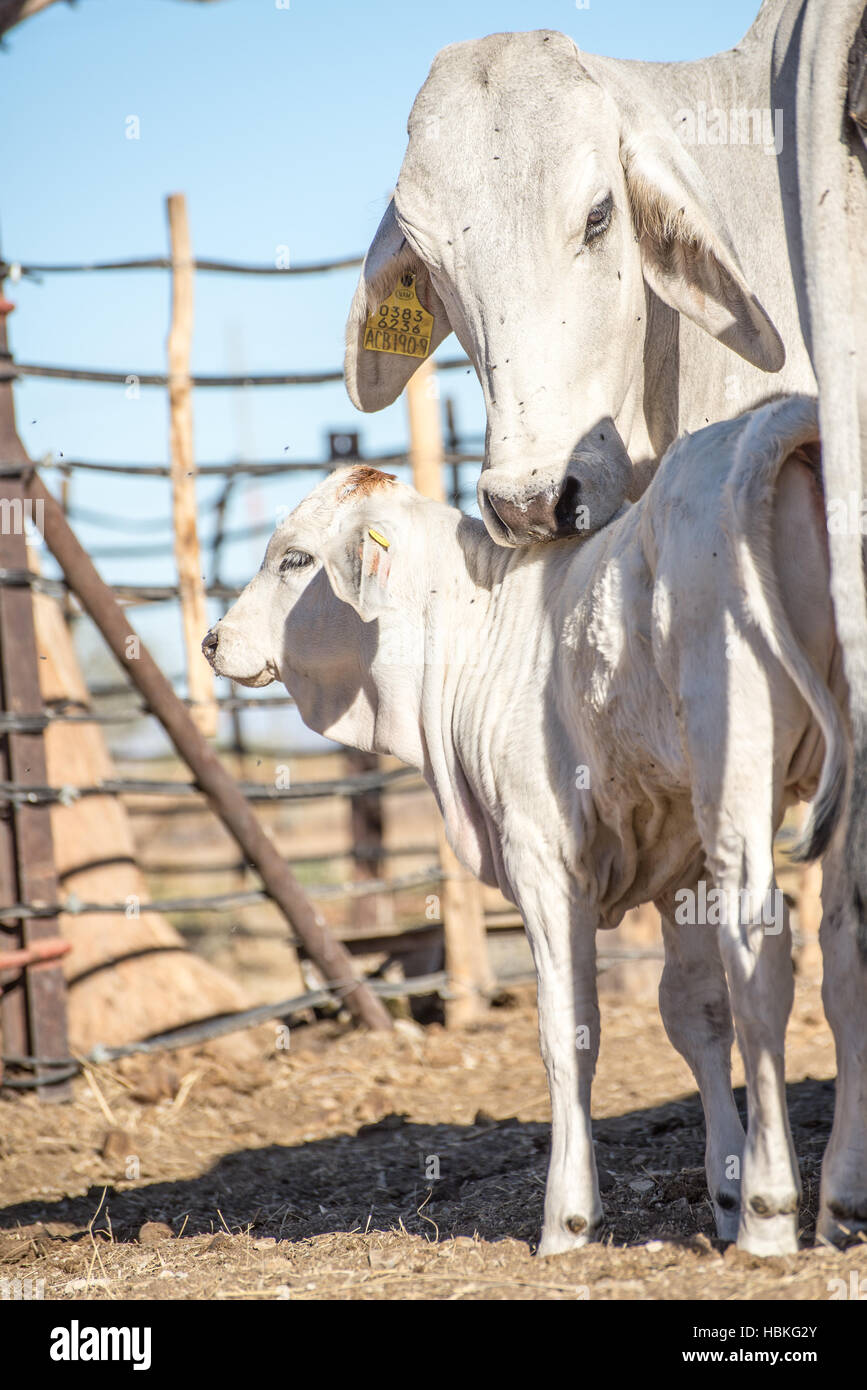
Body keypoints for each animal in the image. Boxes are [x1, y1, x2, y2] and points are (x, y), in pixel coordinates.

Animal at [203, 394, 859, 1257]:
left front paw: (568, 1221)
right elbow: (695, 1017)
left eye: (293, 559)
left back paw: (769, 1213)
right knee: (842, 952)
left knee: (762, 966)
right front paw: (718, 1193)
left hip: (738, 772)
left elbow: (566, 1028)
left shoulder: (543, 858)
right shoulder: (678, 865)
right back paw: (839, 1203)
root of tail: (775, 420)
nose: (212, 641)